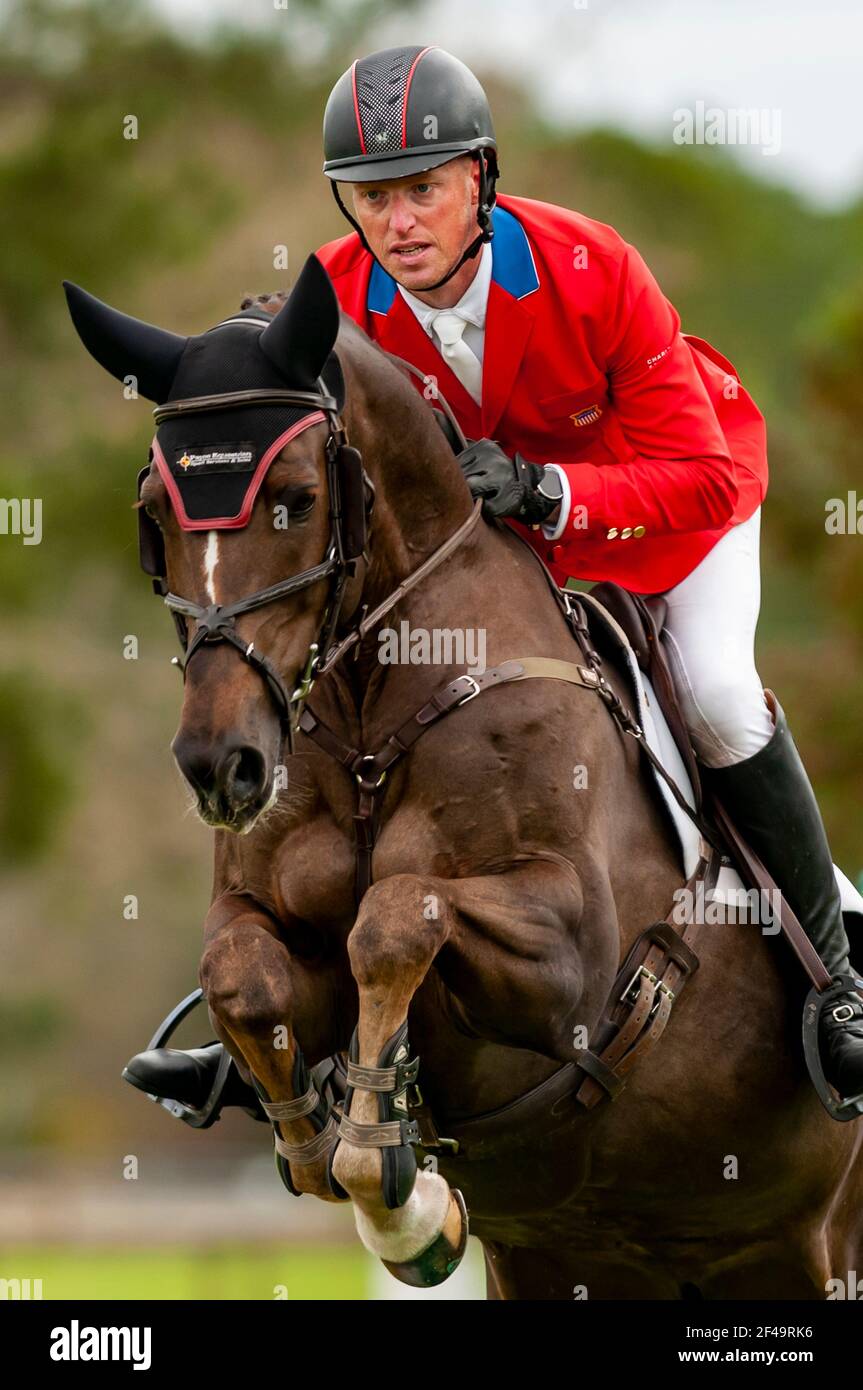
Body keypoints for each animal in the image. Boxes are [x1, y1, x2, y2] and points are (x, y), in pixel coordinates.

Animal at [65, 255, 863, 1299]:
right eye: (155, 516)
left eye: (295, 498)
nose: (221, 767)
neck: (374, 712)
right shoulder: (258, 917)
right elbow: (241, 976)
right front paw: (350, 1162)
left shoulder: (570, 965)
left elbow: (398, 914)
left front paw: (394, 1189)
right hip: (579, 1261)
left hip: (806, 1247)